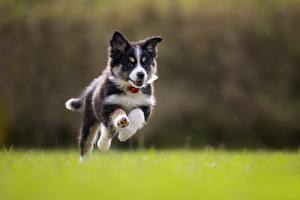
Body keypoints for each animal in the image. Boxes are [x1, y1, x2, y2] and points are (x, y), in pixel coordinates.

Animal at [65, 31, 162, 160]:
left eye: (145, 62)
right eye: (130, 62)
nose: (141, 74)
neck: (130, 89)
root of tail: (92, 86)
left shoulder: (146, 106)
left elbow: (137, 113)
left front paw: (125, 134)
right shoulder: (107, 104)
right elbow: (117, 112)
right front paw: (122, 121)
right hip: (89, 119)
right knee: (87, 143)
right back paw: (93, 155)